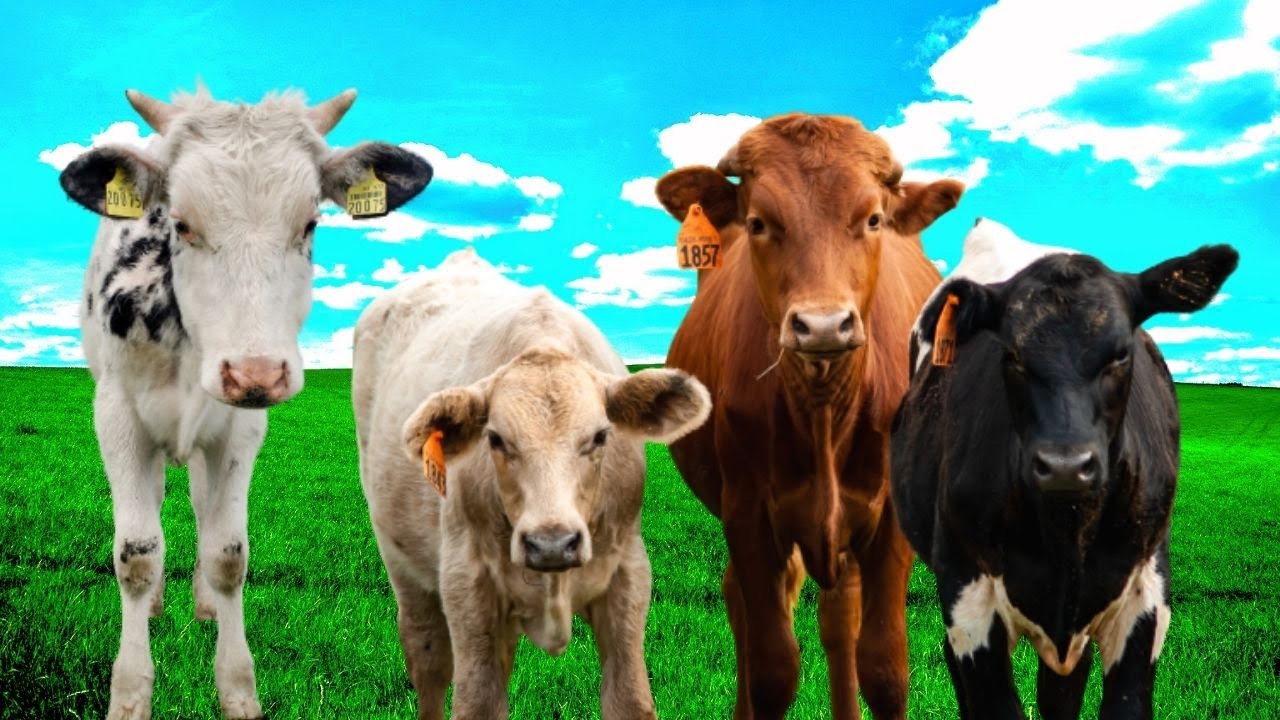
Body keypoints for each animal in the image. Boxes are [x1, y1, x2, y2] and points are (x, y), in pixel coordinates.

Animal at [58, 85, 434, 719]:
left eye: (310, 223)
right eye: (181, 224)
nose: (255, 372)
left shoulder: (240, 427)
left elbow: (228, 553)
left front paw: (237, 690)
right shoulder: (117, 416)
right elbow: (136, 554)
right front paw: (130, 694)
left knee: (202, 508)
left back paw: (205, 606)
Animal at [352, 249, 712, 720]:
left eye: (600, 436)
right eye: (495, 439)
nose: (551, 544)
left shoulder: (628, 572)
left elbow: (629, 699)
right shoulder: (467, 584)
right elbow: (476, 703)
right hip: (406, 570)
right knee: (428, 661)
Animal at [656, 112, 965, 719]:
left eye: (873, 219)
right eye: (758, 222)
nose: (823, 325)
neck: (822, 411)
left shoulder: (890, 517)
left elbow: (884, 668)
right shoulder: (747, 511)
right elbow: (774, 668)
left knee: (839, 617)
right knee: (741, 602)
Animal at [890, 237, 1239, 719]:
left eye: (1121, 353)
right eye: (1012, 355)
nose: (1065, 465)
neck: (1067, 533)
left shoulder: (1146, 594)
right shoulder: (967, 595)